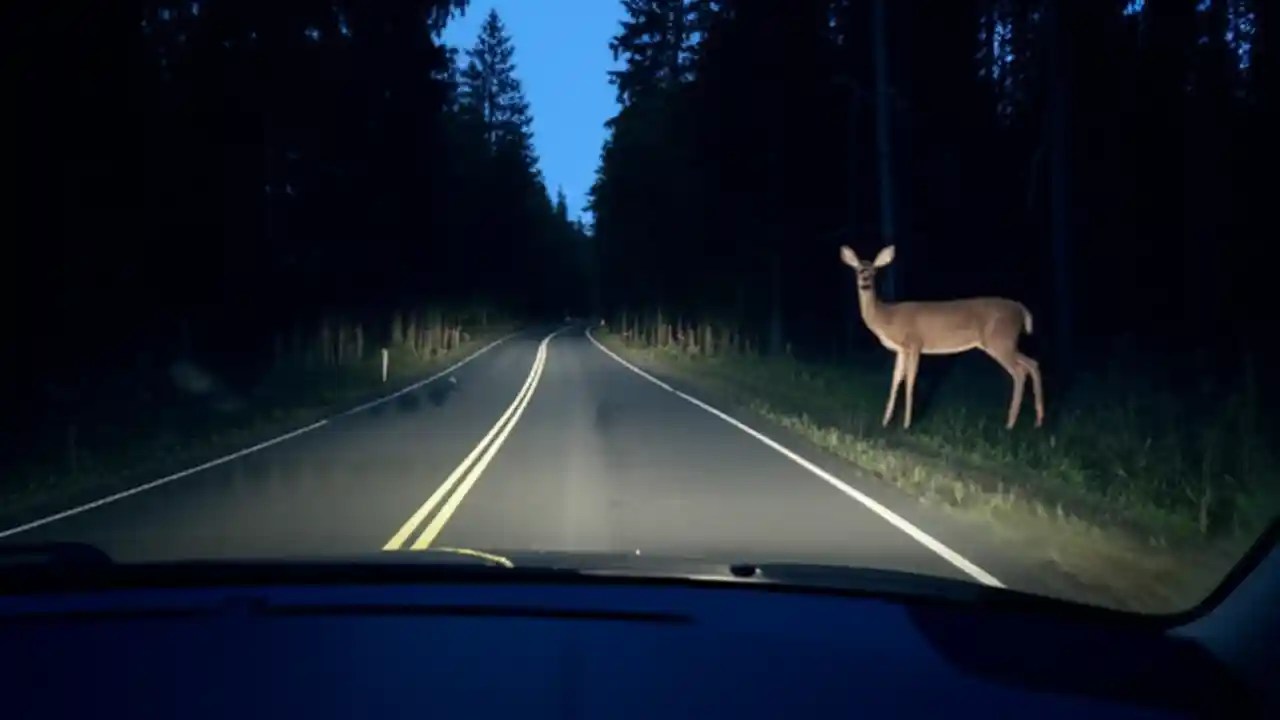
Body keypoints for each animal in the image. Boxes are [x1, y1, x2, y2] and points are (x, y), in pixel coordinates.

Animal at [839, 245, 1044, 430]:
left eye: (874, 271)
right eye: (857, 270)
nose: (865, 282)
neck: (887, 317)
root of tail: (1022, 310)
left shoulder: (915, 342)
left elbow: (911, 379)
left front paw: (907, 424)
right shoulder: (901, 350)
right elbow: (896, 379)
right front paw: (885, 421)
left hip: (1000, 340)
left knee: (1020, 371)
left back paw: (1010, 424)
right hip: (1004, 342)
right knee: (1032, 364)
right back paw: (1037, 421)